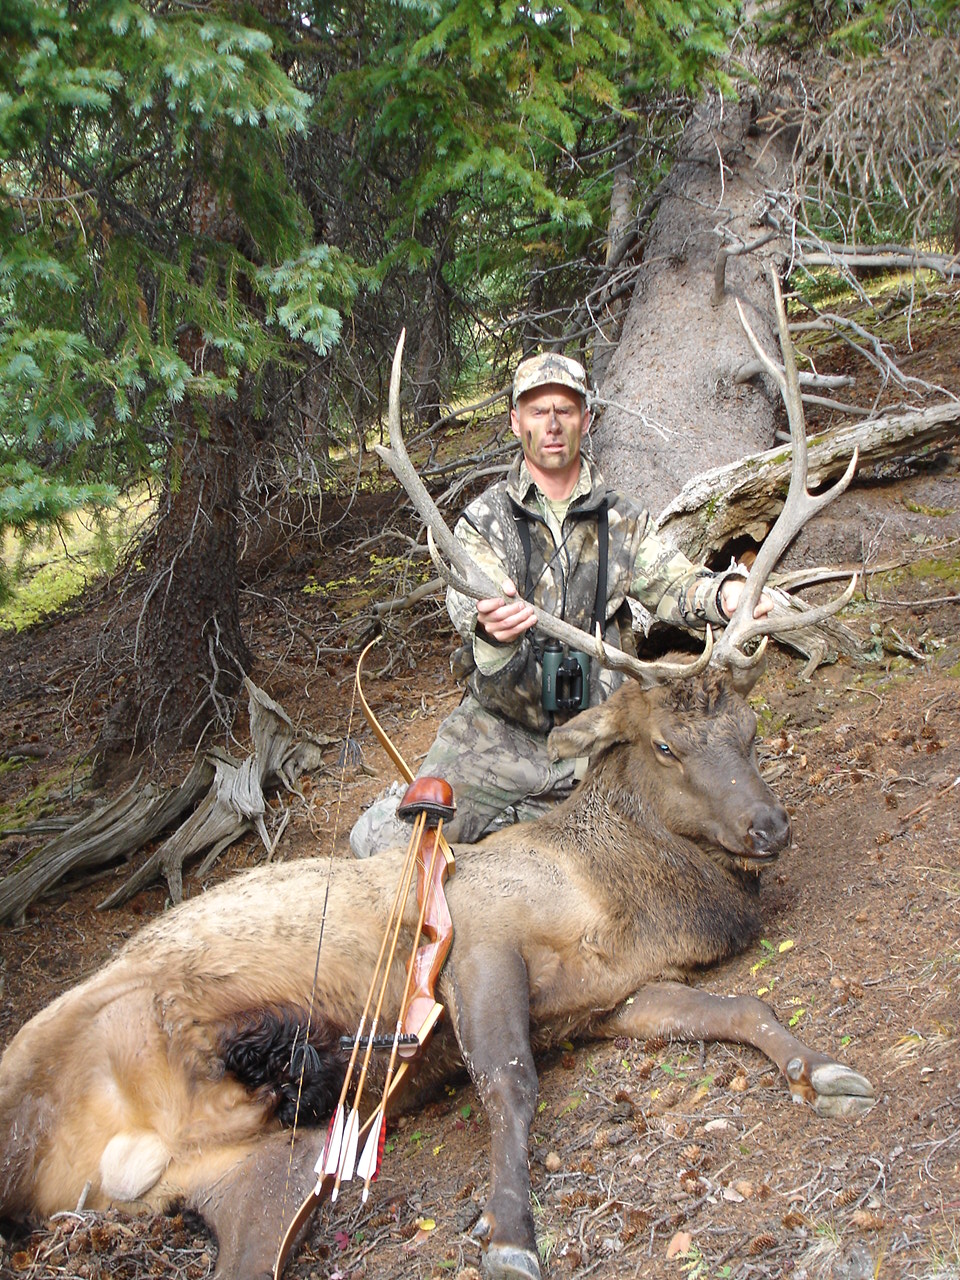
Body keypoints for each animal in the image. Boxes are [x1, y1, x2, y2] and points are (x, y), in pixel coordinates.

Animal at [0, 275, 874, 1280]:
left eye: (750, 729)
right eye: (664, 747)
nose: (769, 828)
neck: (621, 897)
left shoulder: (615, 996)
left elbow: (742, 1002)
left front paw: (828, 1068)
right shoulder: (479, 944)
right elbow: (509, 1085)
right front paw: (510, 1233)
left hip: (257, 1173)